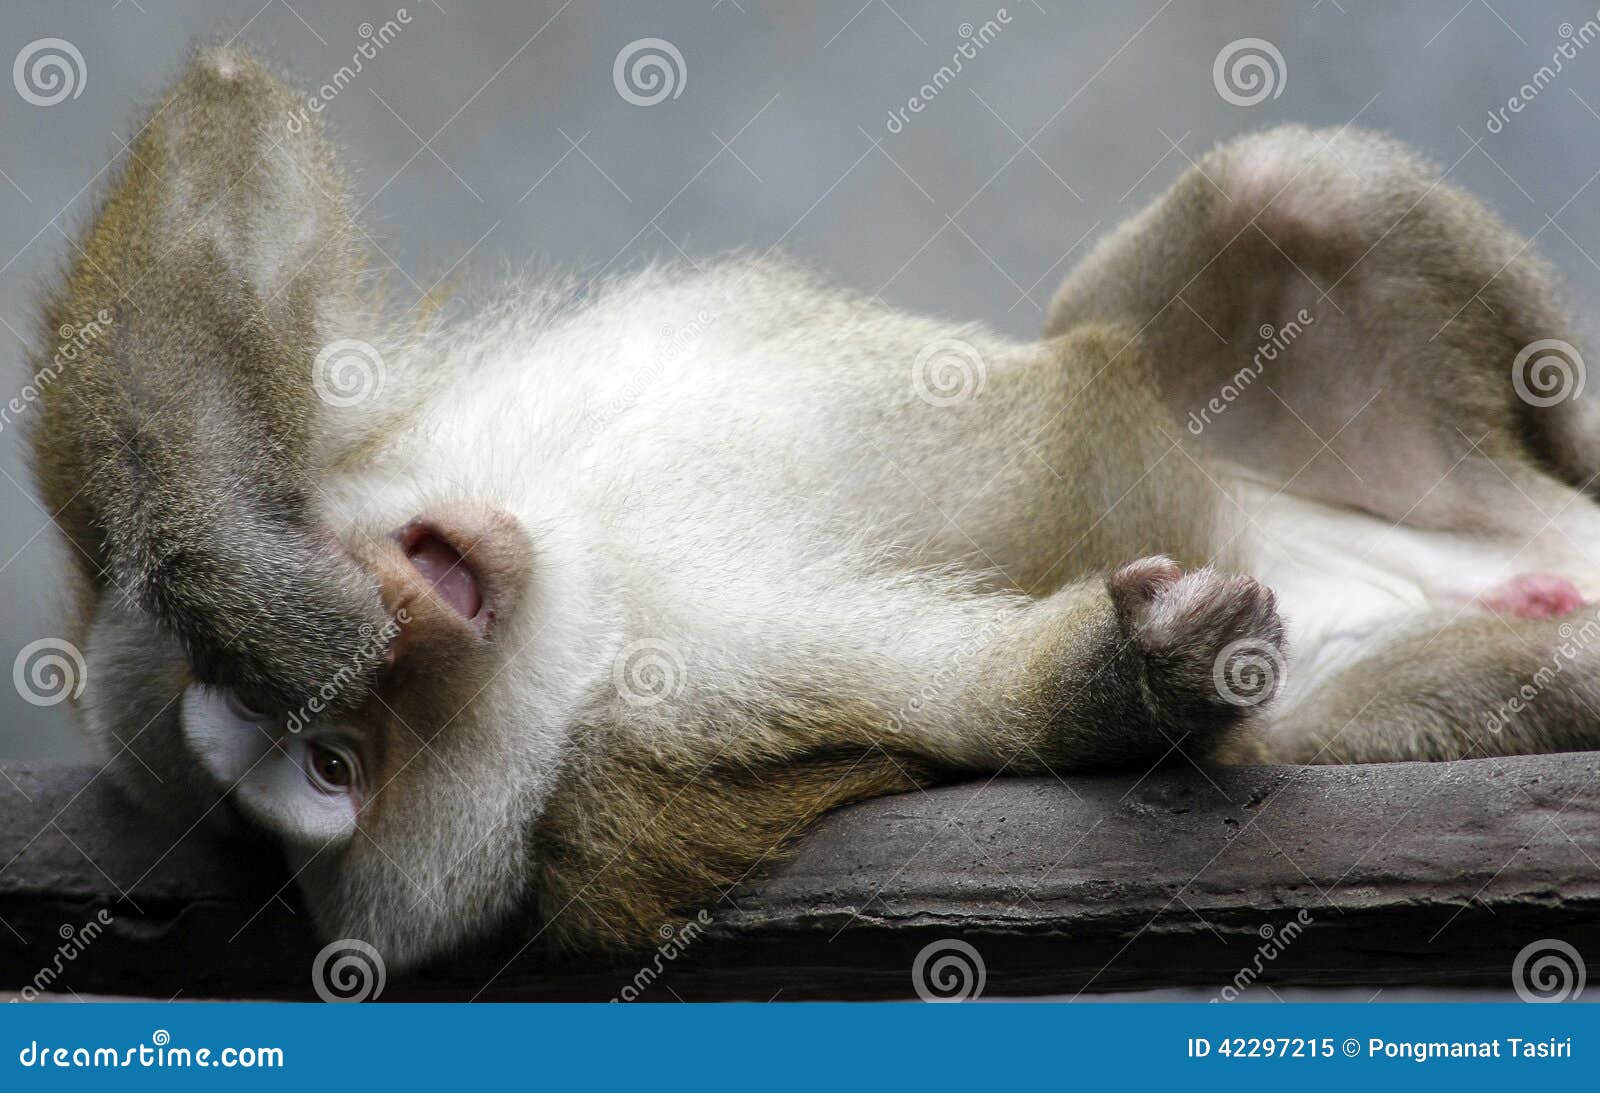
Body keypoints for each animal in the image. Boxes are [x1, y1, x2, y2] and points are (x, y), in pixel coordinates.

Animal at [25, 44, 1600, 969]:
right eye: (336, 762)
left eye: (307, 728)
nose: (407, 622)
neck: (583, 581)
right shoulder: (634, 748)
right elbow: (970, 704)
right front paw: (1145, 677)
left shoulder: (415, 428)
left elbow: (227, 164)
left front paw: (260, 578)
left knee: (1290, 187)